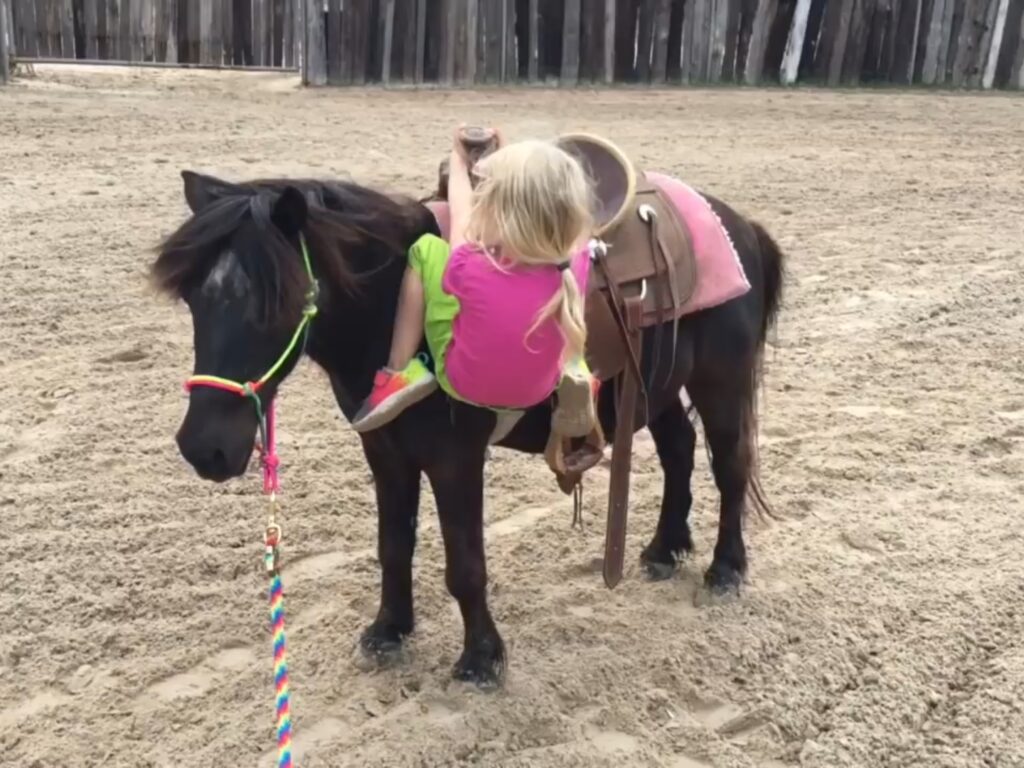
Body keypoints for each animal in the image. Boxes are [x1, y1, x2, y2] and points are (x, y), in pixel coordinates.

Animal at [149, 167, 785, 688]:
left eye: (271, 302)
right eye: (193, 300)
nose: (203, 448)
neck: (392, 315)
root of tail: (736, 223)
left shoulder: (455, 459)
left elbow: (466, 565)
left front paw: (481, 658)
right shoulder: (385, 452)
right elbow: (393, 546)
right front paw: (389, 629)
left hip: (718, 382)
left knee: (730, 465)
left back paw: (725, 568)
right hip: (656, 385)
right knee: (680, 449)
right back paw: (664, 548)